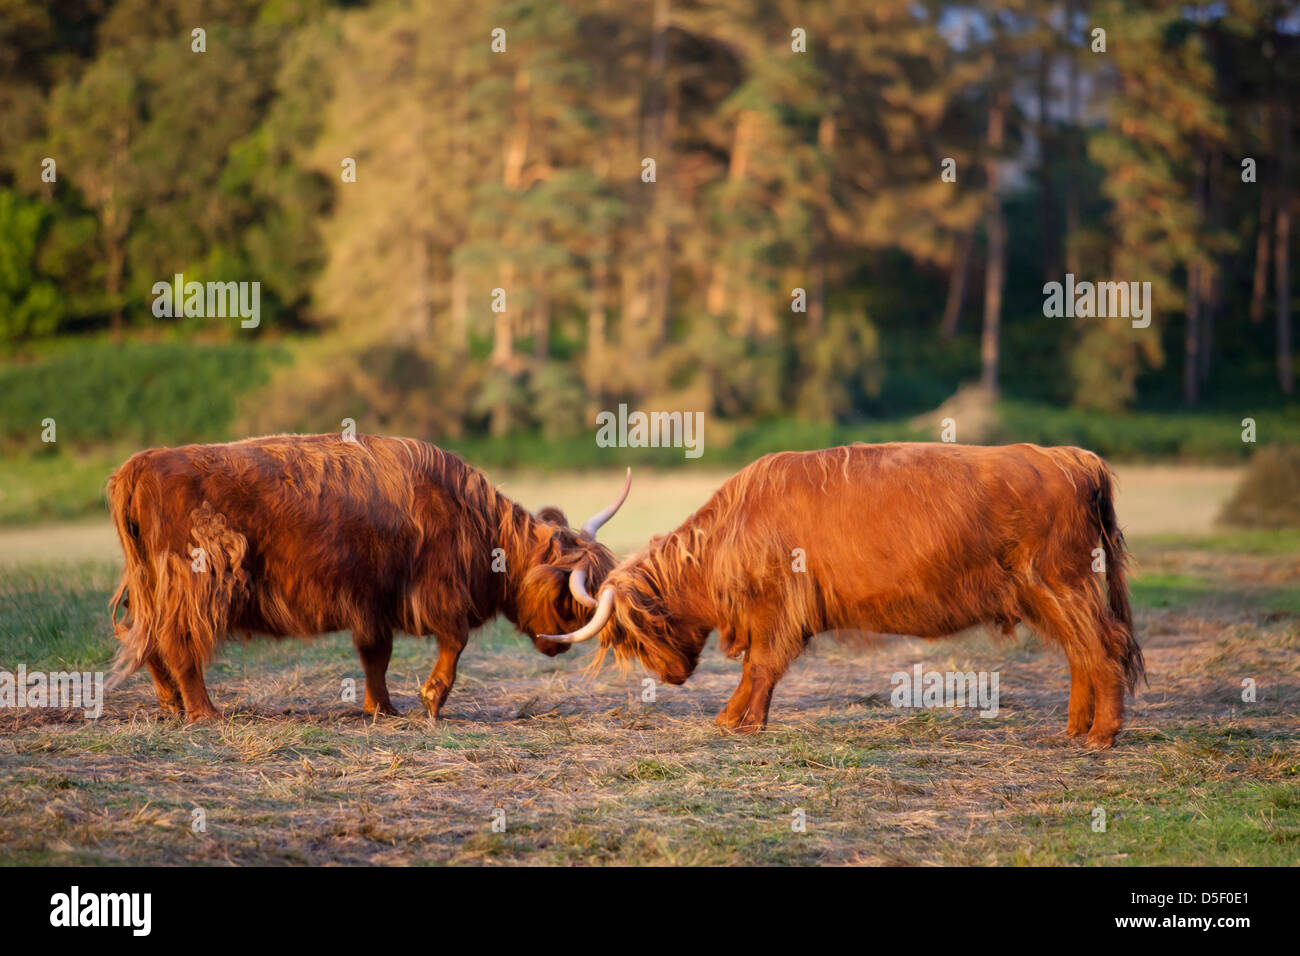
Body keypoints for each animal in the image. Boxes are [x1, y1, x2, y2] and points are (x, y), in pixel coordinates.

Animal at [107, 433, 630, 722]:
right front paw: (431, 700)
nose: (558, 647)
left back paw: (171, 705)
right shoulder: (435, 592)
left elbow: (376, 655)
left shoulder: (371, 598)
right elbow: (454, 641)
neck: (476, 522)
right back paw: (202, 712)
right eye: (572, 599)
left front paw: (381, 708)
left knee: (142, 637)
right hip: (196, 581)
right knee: (178, 641)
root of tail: (143, 463)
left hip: (147, 584)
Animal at [544, 443, 1146, 749]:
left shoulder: (778, 607)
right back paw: (1075, 728)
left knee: (1103, 647)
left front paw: (733, 721)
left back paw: (1101, 735)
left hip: (1061, 581)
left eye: (628, 634)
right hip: (1047, 593)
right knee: (1081, 651)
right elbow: (762, 669)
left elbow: (760, 666)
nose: (670, 677)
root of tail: (1072, 456)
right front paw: (743, 720)